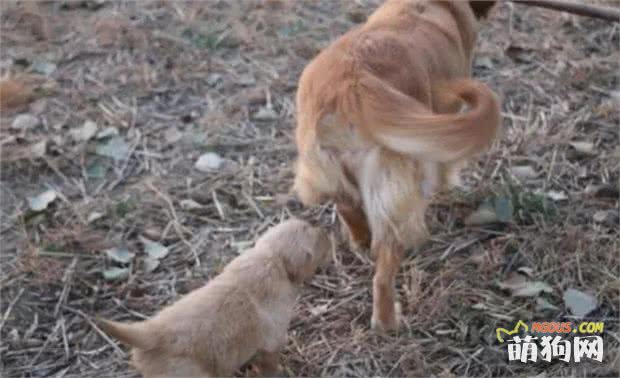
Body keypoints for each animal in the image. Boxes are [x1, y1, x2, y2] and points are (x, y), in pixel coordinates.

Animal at [98, 219, 330, 378]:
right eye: (317, 241)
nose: (326, 231)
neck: (271, 259)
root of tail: (148, 333)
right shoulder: (273, 339)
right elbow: (270, 364)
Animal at [294, 0, 502, 330]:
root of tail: (353, 85)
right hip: (396, 192)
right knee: (383, 274)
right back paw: (388, 321)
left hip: (325, 171)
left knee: (348, 207)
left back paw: (360, 241)